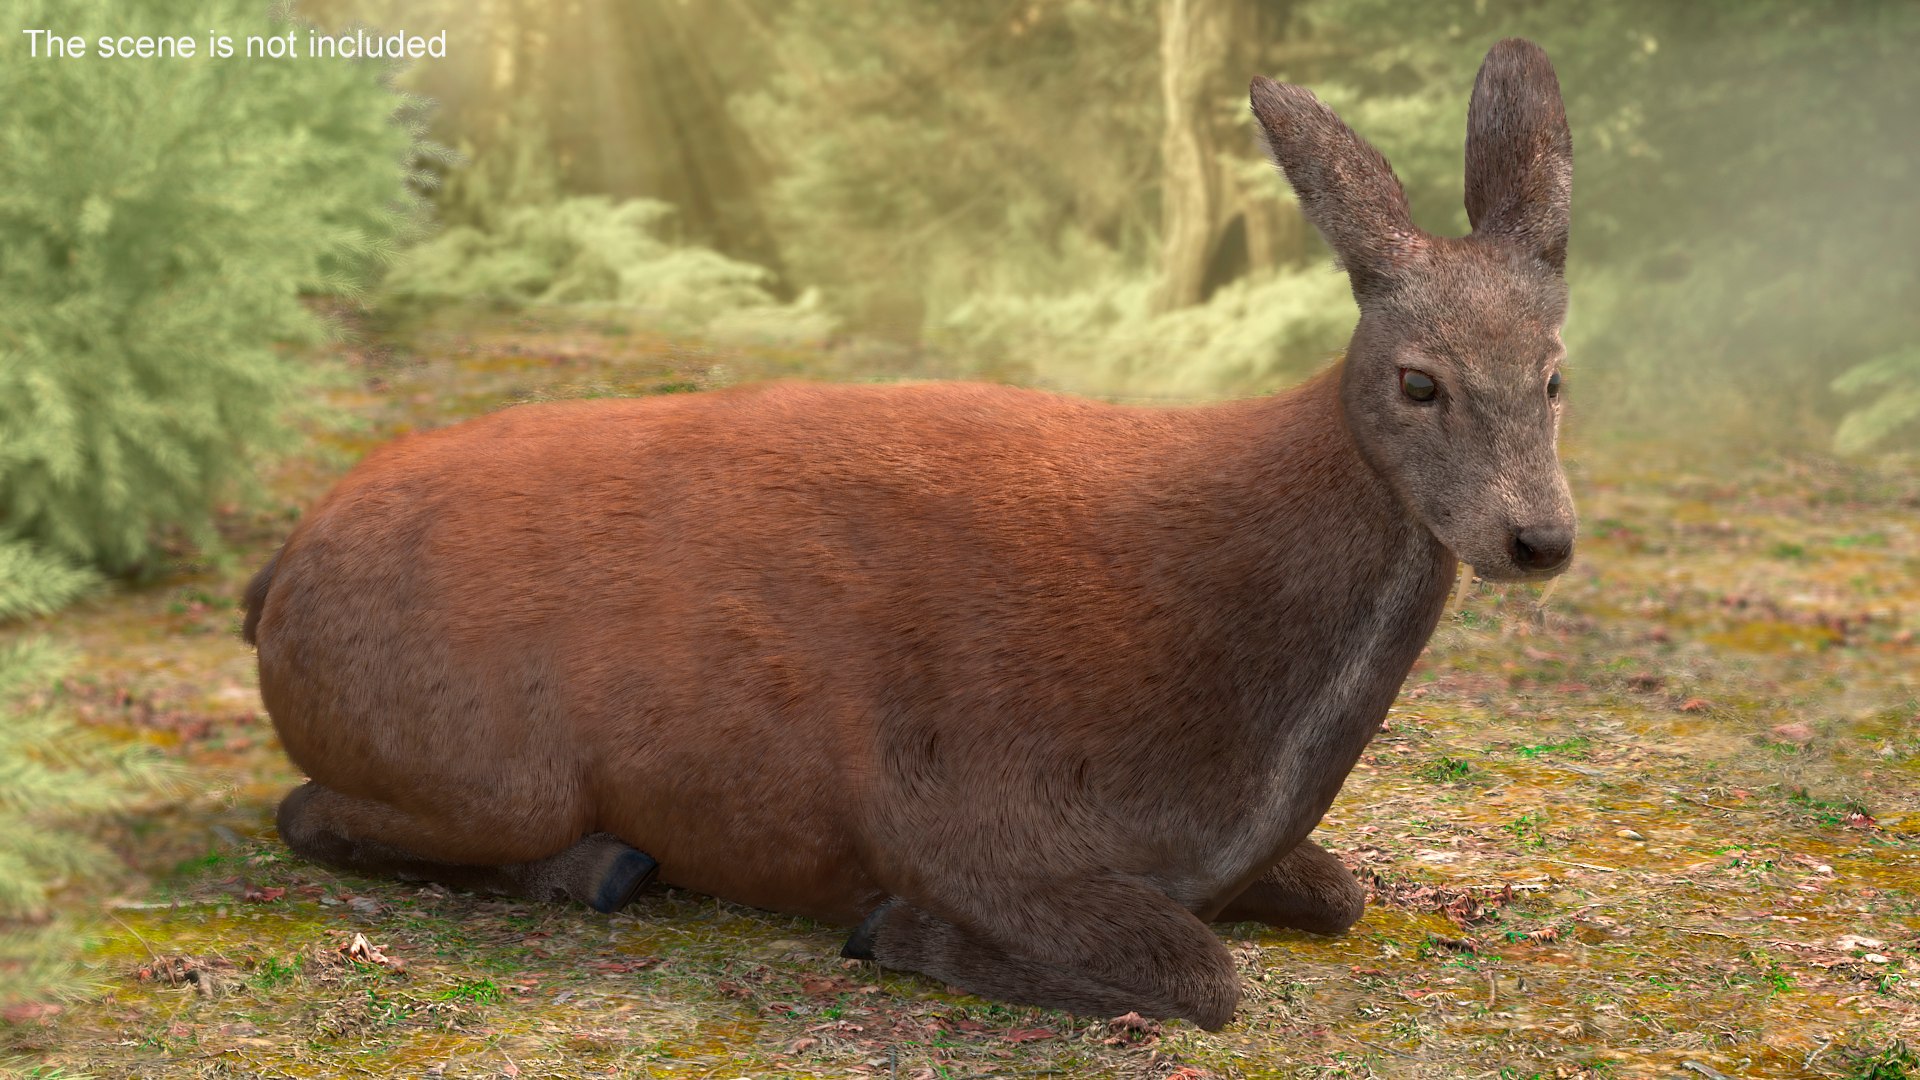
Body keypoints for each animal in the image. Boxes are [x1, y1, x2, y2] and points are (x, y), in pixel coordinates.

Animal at [243, 38, 1576, 1030]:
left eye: (1558, 373)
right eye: (1417, 379)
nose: (1541, 539)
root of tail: (273, 582)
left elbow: (1341, 892)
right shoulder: (960, 804)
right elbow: (1202, 976)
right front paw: (895, 931)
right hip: (489, 764)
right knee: (308, 814)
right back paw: (601, 866)